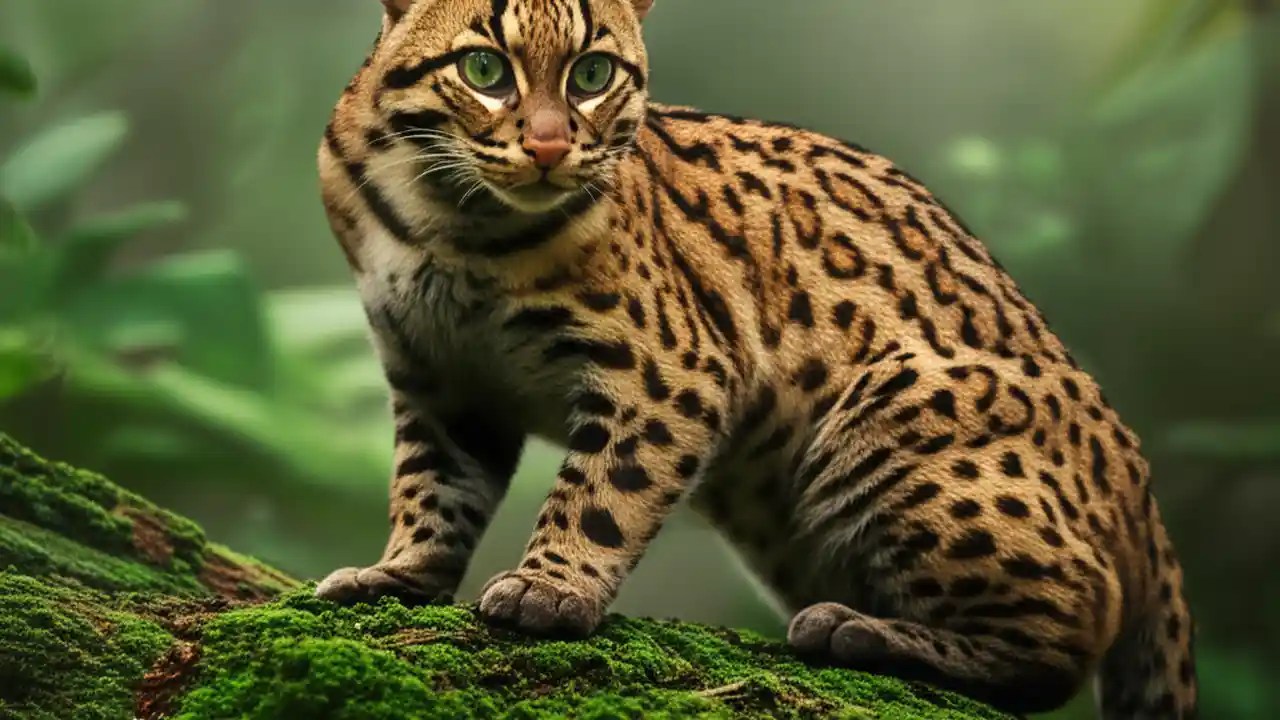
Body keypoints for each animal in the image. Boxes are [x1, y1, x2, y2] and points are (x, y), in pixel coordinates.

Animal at [312, 0, 1198, 716]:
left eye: (592, 74)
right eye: (485, 69)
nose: (550, 147)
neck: (448, 219)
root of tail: (1137, 472)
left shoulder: (670, 369)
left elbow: (599, 490)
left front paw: (549, 587)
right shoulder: (440, 380)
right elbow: (431, 491)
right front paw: (400, 575)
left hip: (890, 422)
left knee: (1069, 634)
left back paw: (864, 633)